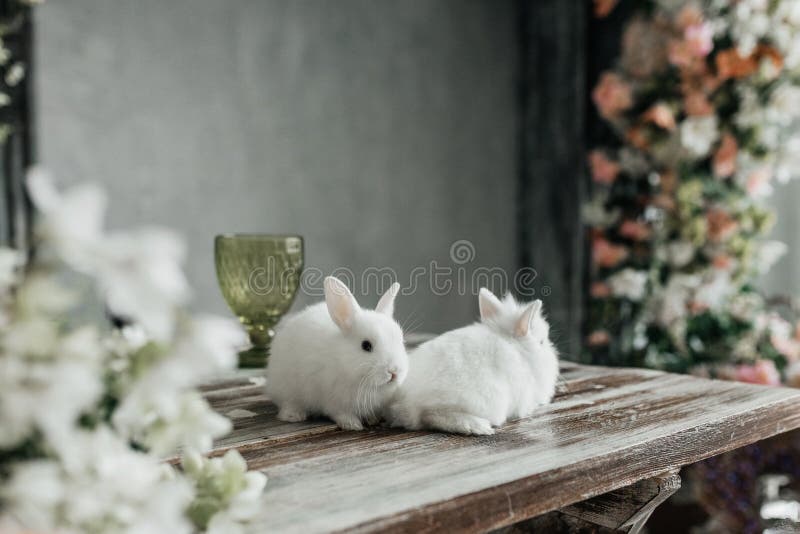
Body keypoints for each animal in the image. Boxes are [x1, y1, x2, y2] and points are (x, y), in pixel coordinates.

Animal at [266, 276, 408, 431]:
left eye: (400, 340)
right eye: (366, 346)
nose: (394, 371)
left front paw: (372, 419)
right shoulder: (333, 400)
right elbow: (340, 413)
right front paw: (352, 425)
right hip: (286, 388)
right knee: (287, 404)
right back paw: (294, 415)